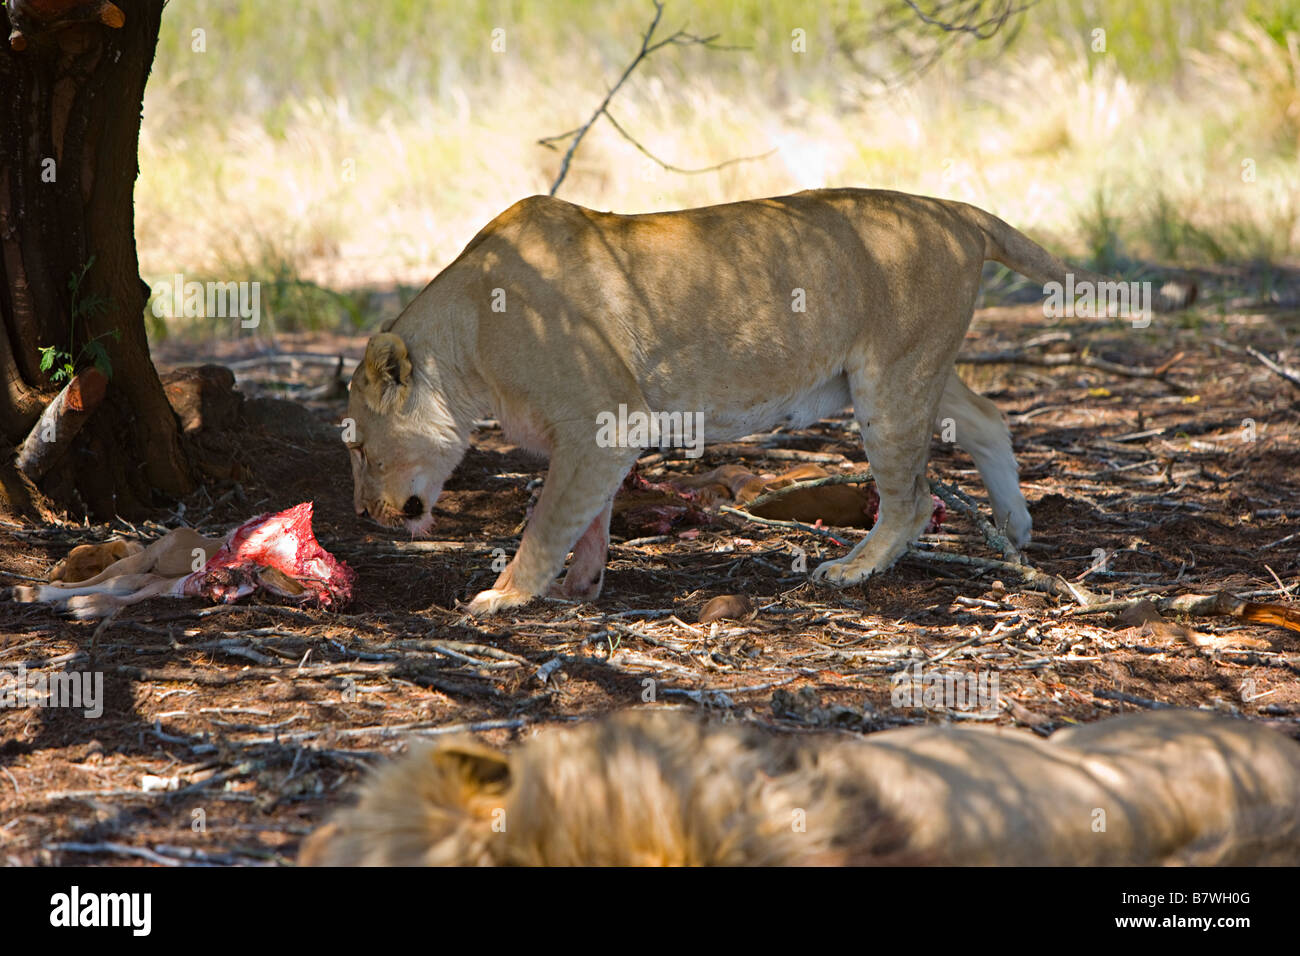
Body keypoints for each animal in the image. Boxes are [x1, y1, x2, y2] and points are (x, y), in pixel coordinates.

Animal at [346, 188, 1184, 614]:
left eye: (357, 447)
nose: (360, 513)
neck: (466, 346)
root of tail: (954, 209)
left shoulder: (603, 420)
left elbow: (550, 517)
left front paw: (506, 596)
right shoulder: (600, 435)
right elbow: (588, 516)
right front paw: (583, 585)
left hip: (888, 380)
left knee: (912, 497)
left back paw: (851, 570)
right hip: (910, 367)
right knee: (989, 417)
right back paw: (1014, 527)